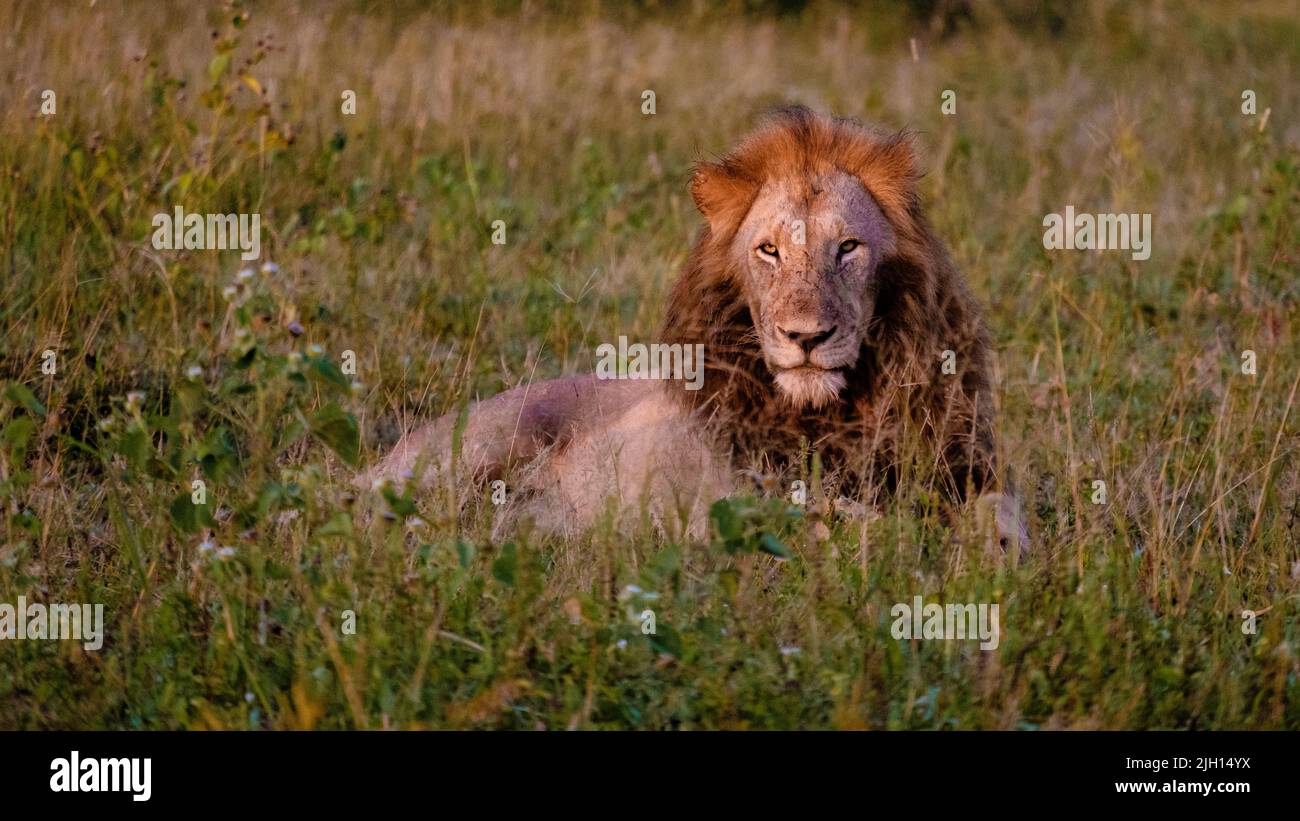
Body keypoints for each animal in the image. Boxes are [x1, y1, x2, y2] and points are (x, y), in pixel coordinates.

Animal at [363, 106, 1026, 553]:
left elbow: (1007, 514)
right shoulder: (747, 496)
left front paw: (998, 552)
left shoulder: (963, 461)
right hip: (474, 446)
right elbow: (847, 522)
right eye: (769, 250)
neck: (836, 410)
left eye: (848, 248)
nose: (806, 338)